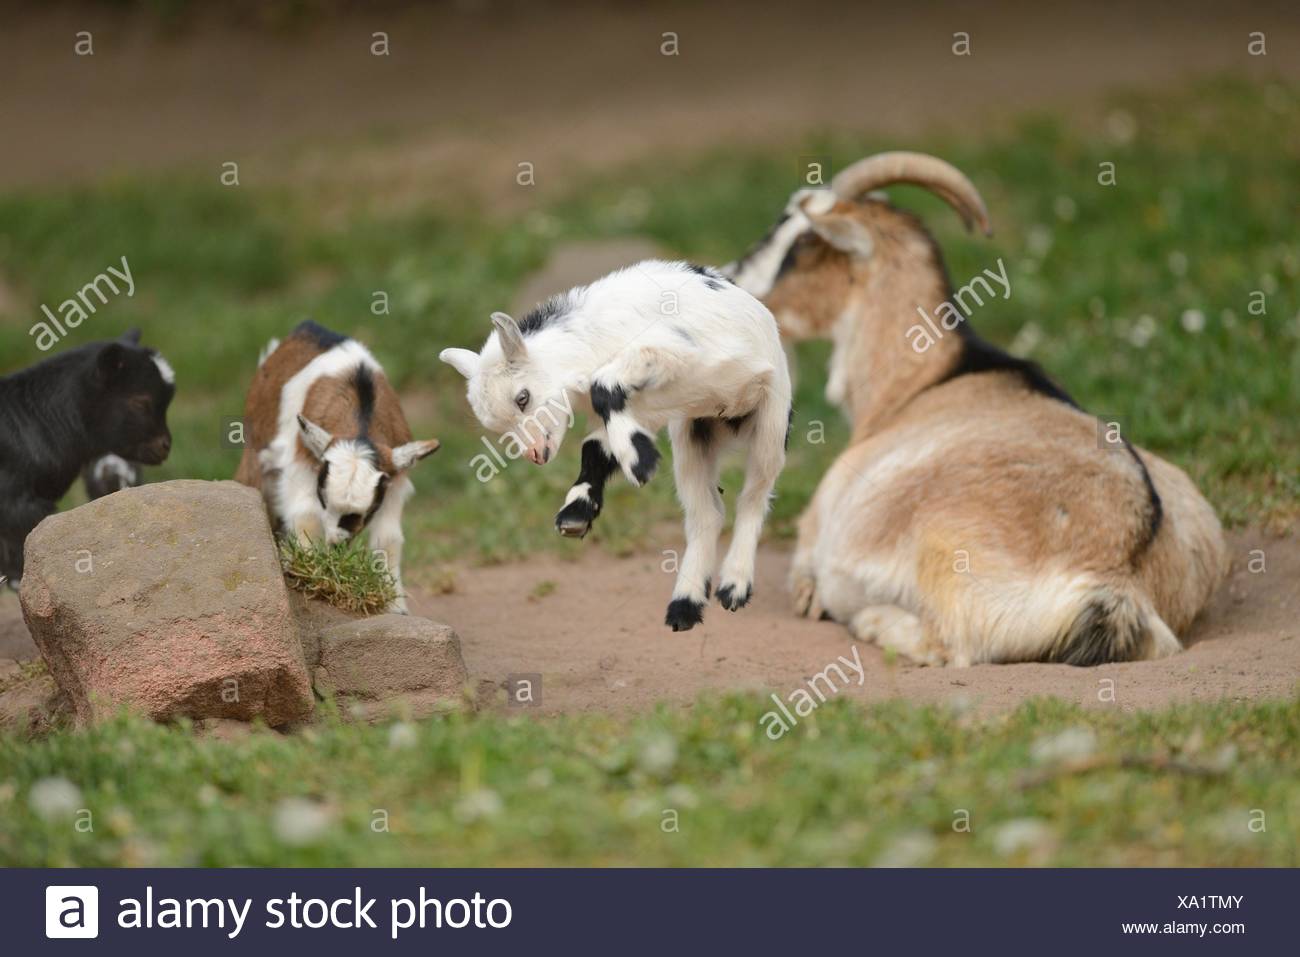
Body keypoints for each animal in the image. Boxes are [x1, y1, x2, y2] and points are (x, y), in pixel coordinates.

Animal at [234, 320, 440, 613]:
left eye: (367, 511)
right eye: (322, 496)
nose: (335, 543)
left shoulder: (394, 480)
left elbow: (388, 538)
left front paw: (395, 606)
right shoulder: (302, 462)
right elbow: (307, 516)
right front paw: (311, 574)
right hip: (255, 451)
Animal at [440, 260, 792, 631]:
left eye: (523, 398)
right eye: (498, 427)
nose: (534, 454)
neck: (590, 341)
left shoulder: (677, 353)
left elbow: (602, 386)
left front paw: (640, 464)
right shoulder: (641, 409)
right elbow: (595, 447)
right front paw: (578, 511)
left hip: (771, 417)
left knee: (754, 496)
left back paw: (734, 585)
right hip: (691, 431)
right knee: (705, 514)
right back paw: (685, 606)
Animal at [724, 151, 1226, 665]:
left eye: (802, 240)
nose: (730, 278)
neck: (922, 381)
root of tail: (1118, 577)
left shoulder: (818, 522)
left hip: (947, 565)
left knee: (951, 646)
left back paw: (871, 620)